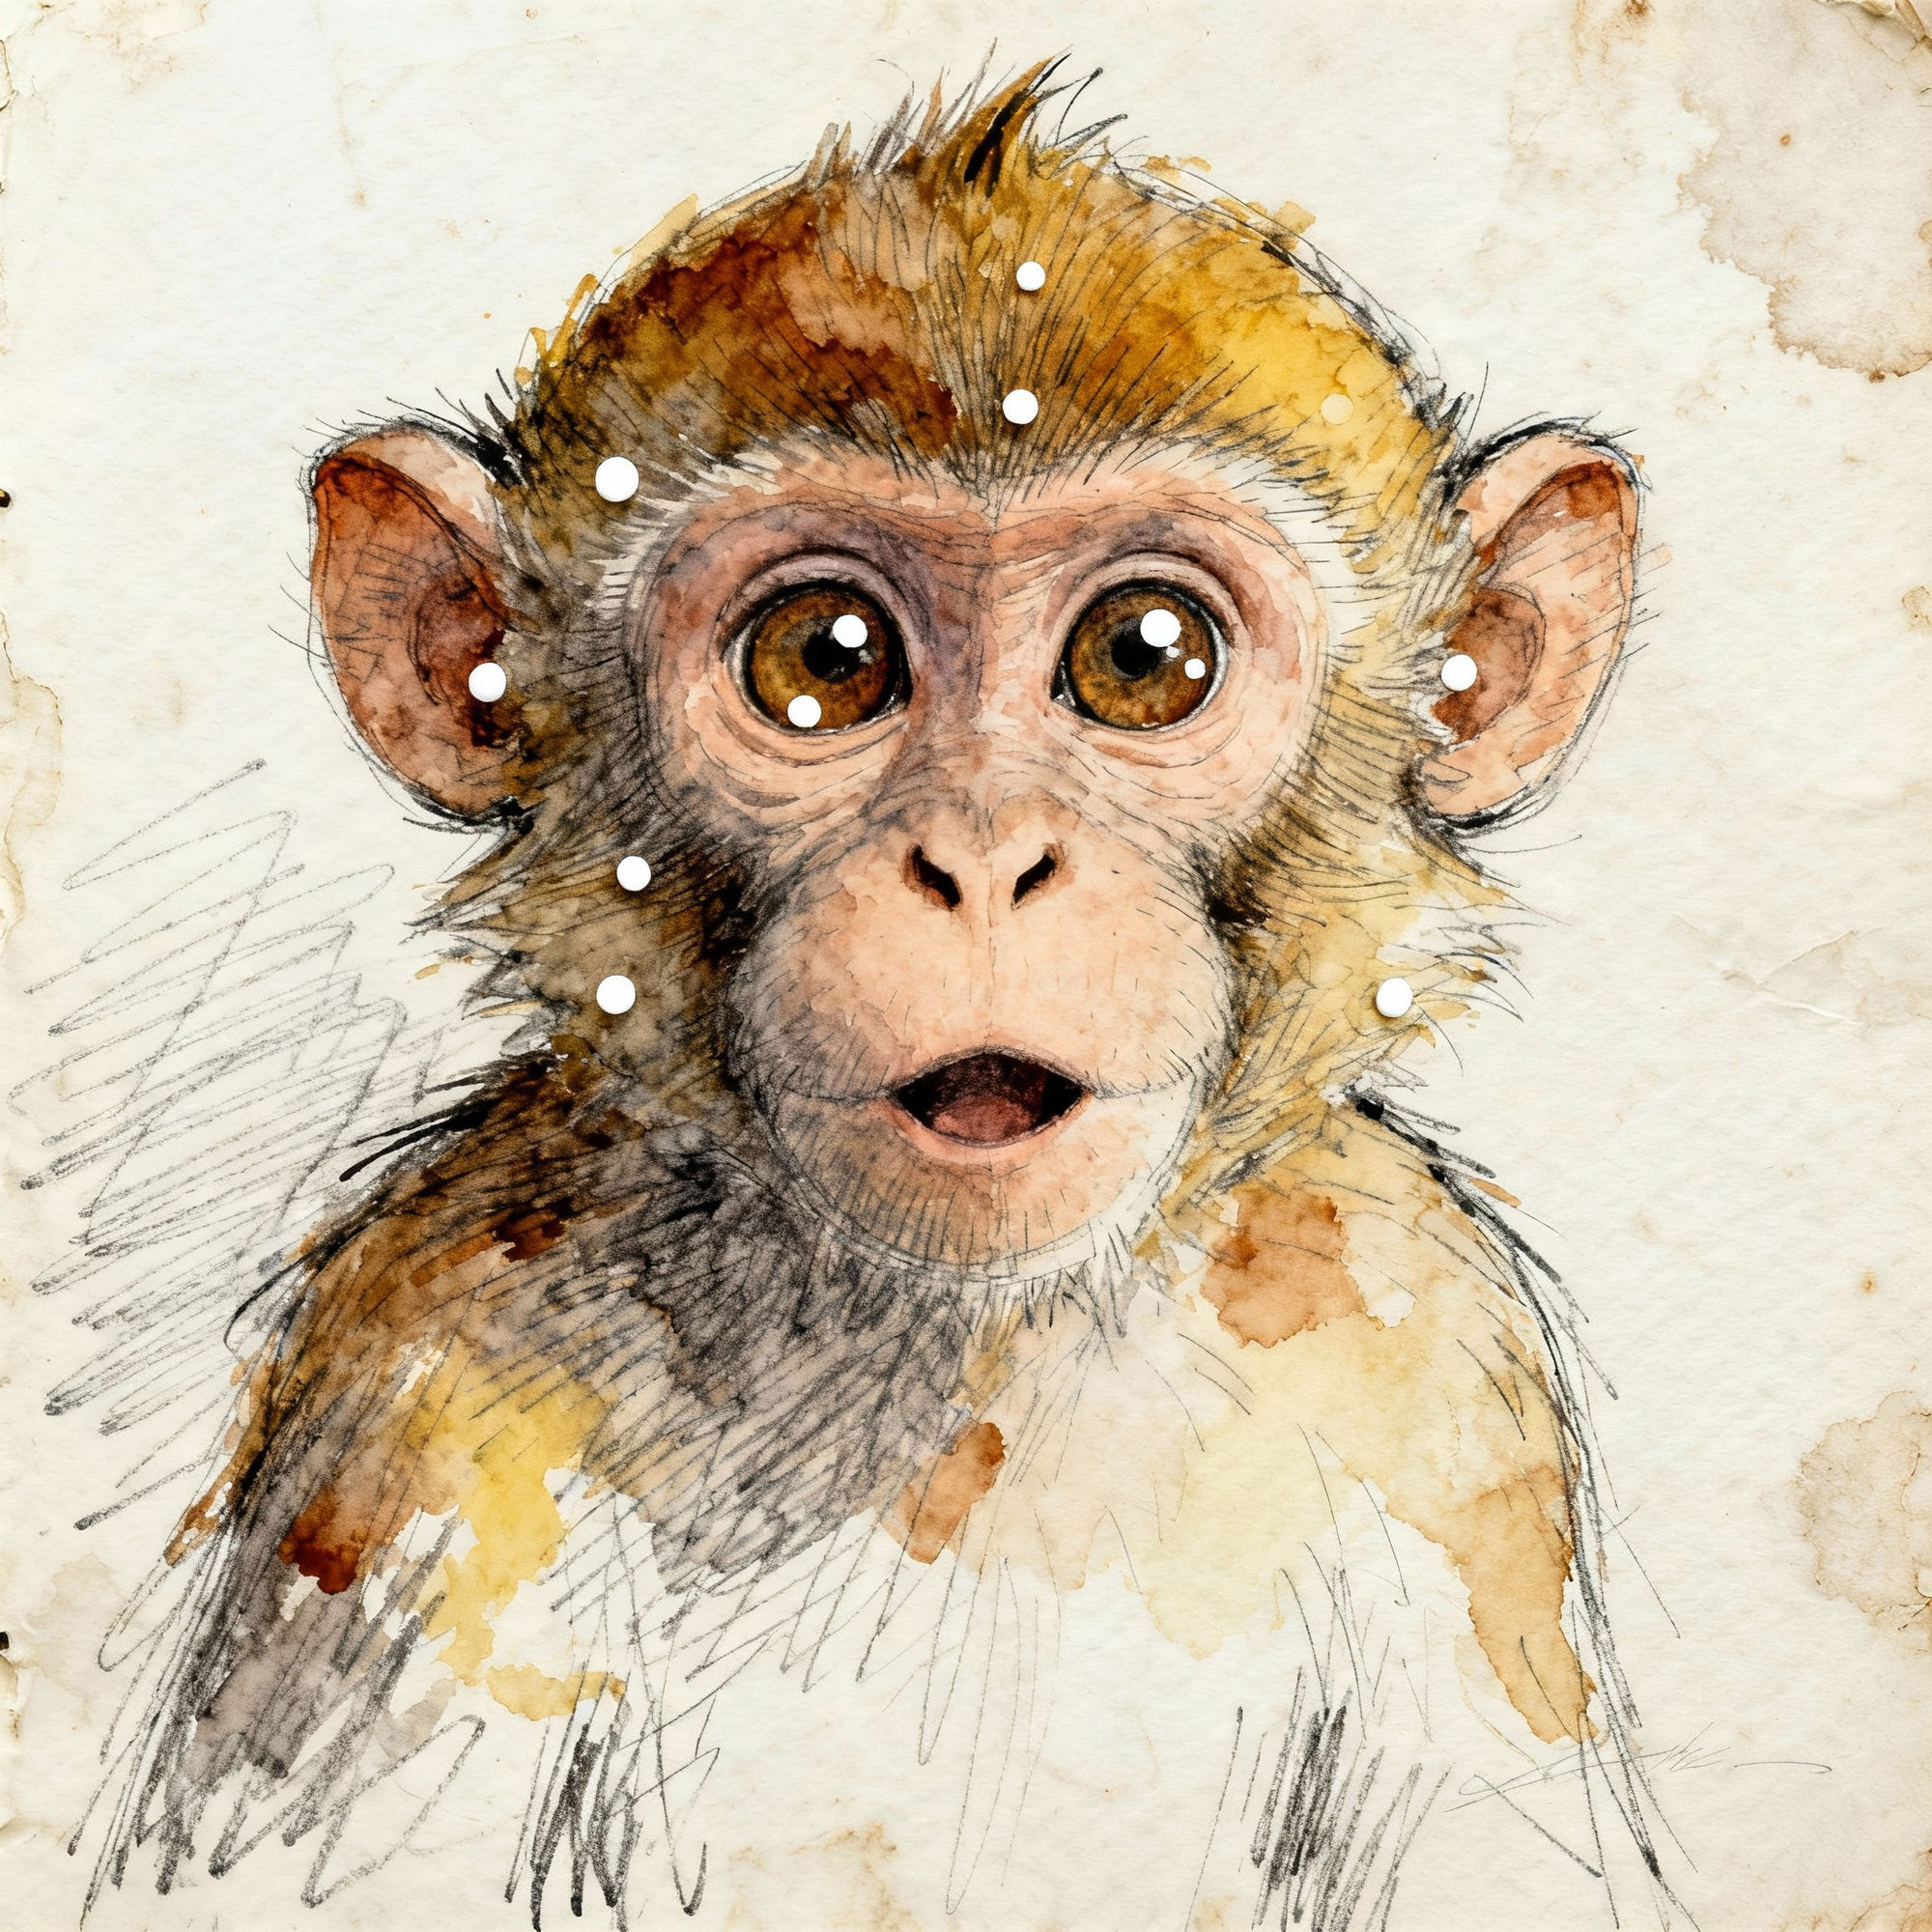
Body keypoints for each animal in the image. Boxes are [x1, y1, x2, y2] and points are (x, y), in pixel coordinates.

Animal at [83, 65, 1676, 1932]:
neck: (967, 1351)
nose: (983, 862)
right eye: (826, 661)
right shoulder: (418, 1405)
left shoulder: (1446, 1373)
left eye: (1144, 656)